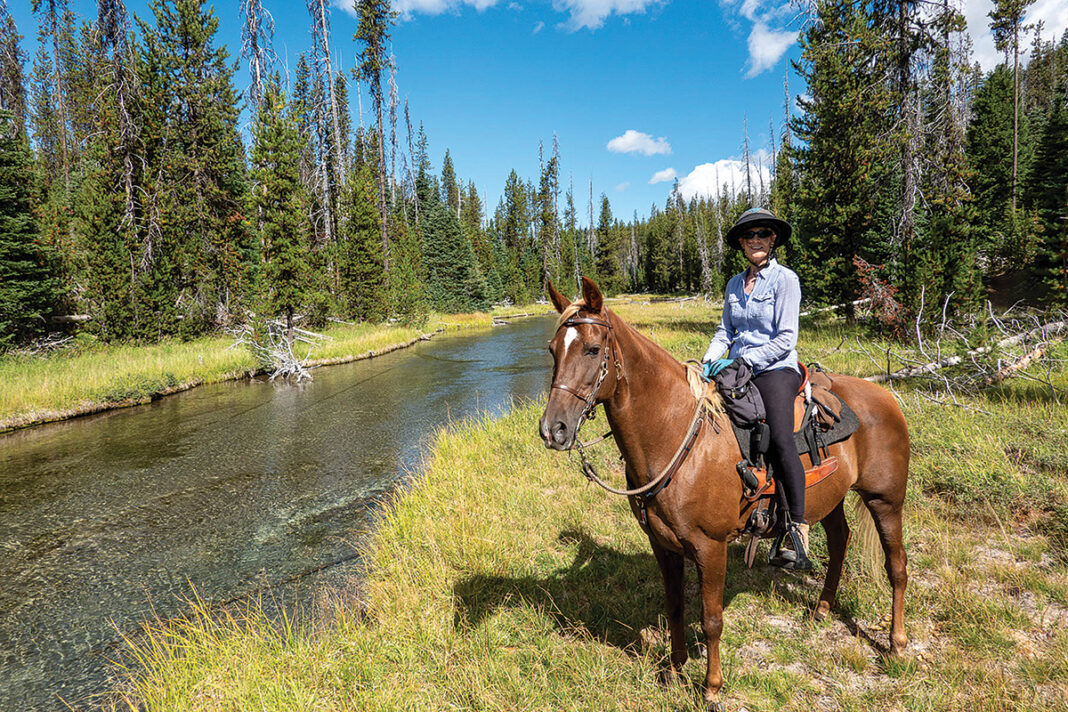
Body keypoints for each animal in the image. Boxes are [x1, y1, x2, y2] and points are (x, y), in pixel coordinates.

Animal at [538, 278, 909, 711]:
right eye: (552, 349)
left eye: (593, 350)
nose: (553, 429)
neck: (677, 434)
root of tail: (884, 396)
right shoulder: (663, 545)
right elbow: (675, 607)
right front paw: (674, 669)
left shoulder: (709, 547)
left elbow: (711, 618)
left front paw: (712, 688)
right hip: (827, 499)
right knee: (839, 542)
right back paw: (821, 609)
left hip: (885, 500)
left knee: (897, 566)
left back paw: (896, 644)